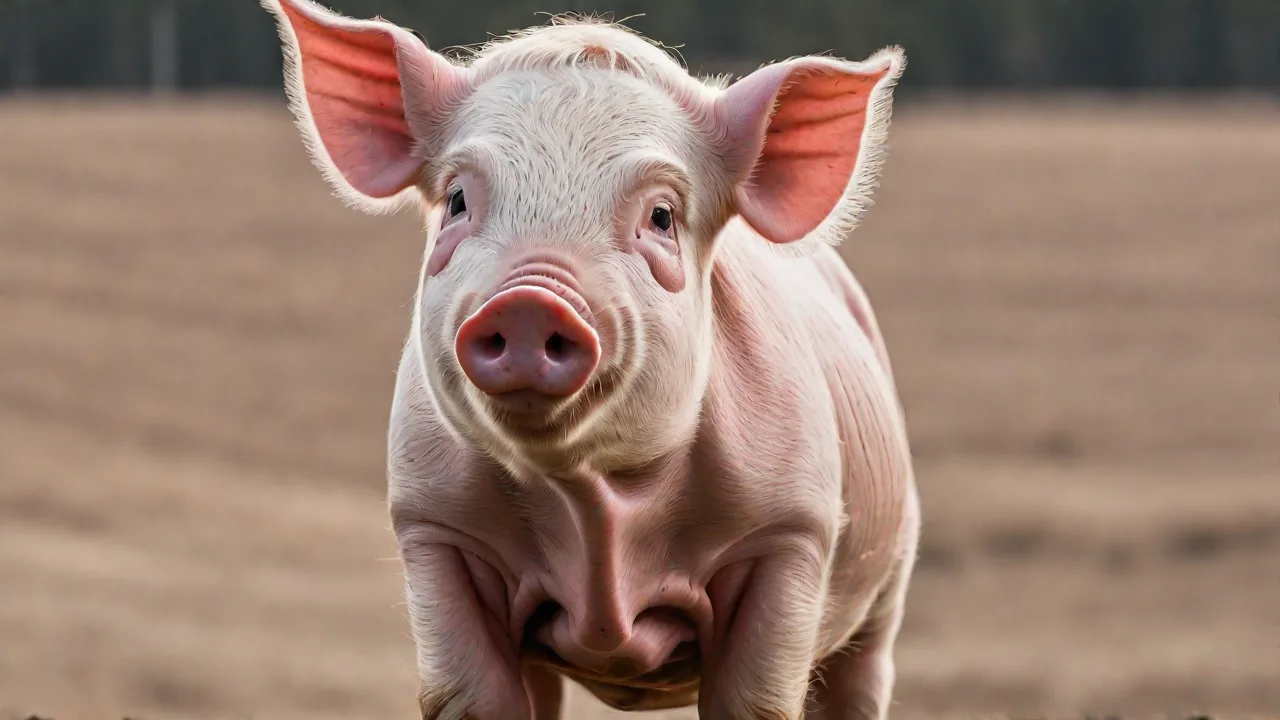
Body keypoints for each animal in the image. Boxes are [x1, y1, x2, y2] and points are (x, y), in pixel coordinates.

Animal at [261, 1, 920, 718]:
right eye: (459, 200)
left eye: (661, 216)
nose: (529, 301)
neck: (592, 506)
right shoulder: (433, 527)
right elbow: (475, 695)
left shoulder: (791, 533)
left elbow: (753, 698)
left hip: (886, 587)